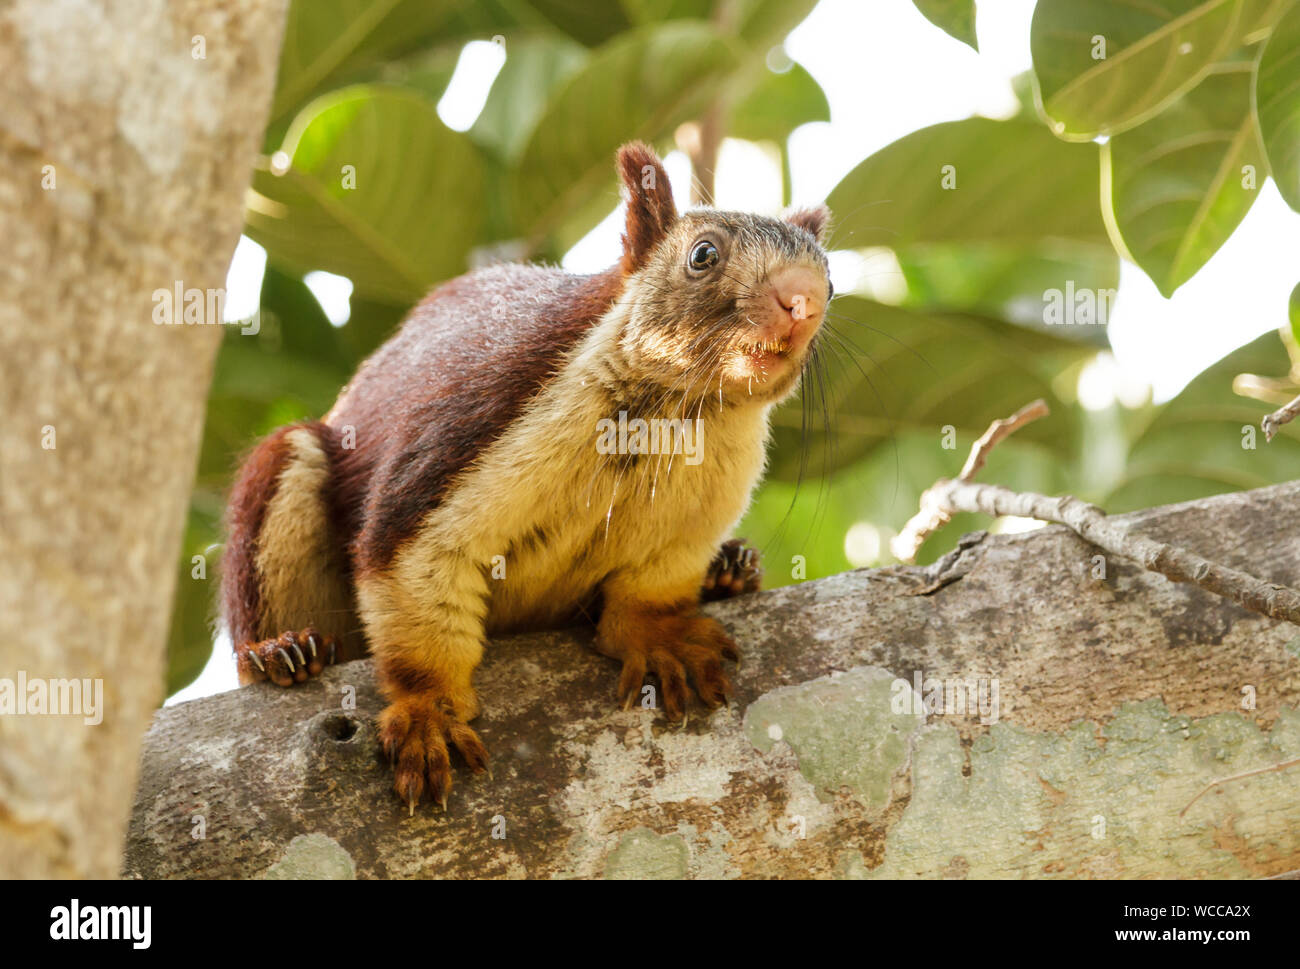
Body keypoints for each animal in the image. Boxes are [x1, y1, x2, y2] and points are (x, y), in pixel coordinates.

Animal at [220, 141, 832, 812]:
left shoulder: (692, 520)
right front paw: (427, 713)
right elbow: (412, 576)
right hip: (292, 474)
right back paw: (282, 653)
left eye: (831, 277)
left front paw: (660, 636)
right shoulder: (467, 430)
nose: (804, 299)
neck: (676, 411)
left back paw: (731, 569)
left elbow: (653, 587)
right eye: (703, 255)